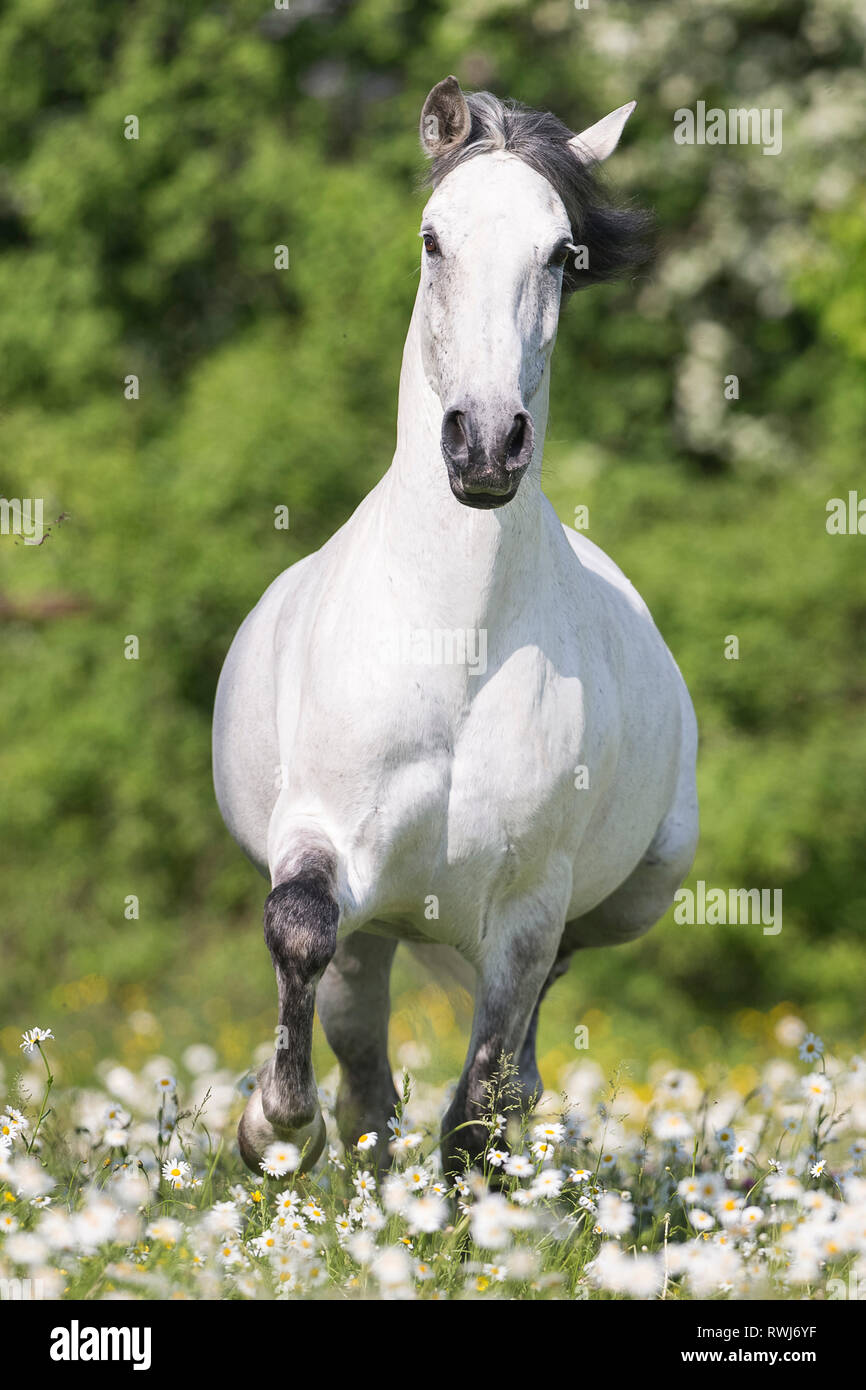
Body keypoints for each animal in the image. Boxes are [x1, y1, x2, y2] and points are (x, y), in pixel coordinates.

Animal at [213, 77, 699, 1176]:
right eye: (434, 240)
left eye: (561, 254)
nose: (483, 442)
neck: (455, 645)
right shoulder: (322, 834)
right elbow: (298, 931)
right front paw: (274, 1130)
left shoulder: (527, 906)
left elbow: (477, 1102)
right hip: (381, 920)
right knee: (359, 1039)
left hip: (637, 889)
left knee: (522, 1024)